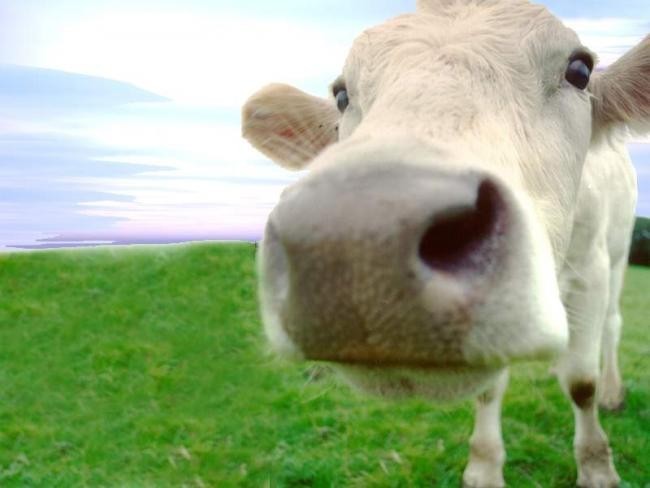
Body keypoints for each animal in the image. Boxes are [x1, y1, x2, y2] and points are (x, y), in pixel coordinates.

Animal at [241, 1, 647, 486]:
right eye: (341, 95)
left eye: (580, 70)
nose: (358, 244)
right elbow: (490, 389)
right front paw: (484, 467)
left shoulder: (590, 272)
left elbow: (580, 383)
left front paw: (597, 467)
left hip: (617, 256)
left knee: (612, 327)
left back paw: (612, 391)